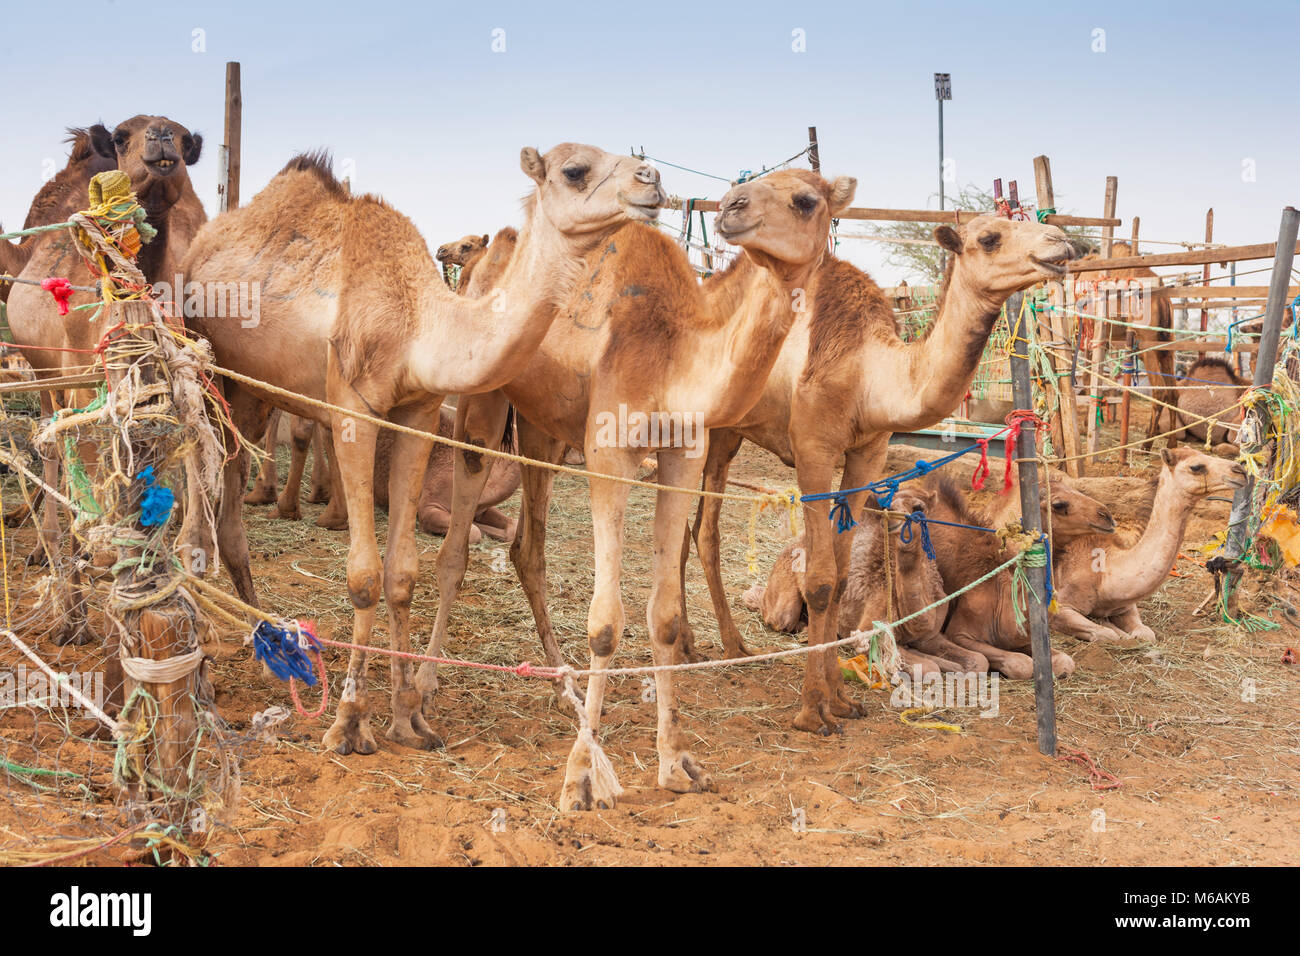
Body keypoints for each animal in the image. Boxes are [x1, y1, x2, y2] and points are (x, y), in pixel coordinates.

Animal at [5, 117, 205, 644]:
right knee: (56, 454)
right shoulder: (75, 381)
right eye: (121, 136)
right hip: (47, 375)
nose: (161, 137)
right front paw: (73, 618)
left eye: (183, 137)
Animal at [183, 144, 665, 755]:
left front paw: (408, 718)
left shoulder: (419, 412)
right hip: (205, 360)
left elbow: (402, 573)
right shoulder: (353, 408)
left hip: (252, 390)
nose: (652, 178)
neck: (416, 324)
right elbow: (364, 576)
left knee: (232, 482)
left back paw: (266, 642)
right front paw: (348, 724)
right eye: (574, 170)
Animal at [420, 169, 857, 808]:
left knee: (528, 549)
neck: (675, 352)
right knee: (454, 549)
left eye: (806, 199)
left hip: (543, 429)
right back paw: (421, 693)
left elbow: (666, 616)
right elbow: (605, 622)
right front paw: (580, 777)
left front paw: (675, 763)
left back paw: (567, 691)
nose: (731, 207)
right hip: (483, 402)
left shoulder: (683, 455)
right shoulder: (609, 452)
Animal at [682, 215, 1076, 734]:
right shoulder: (813, 449)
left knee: (695, 530)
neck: (868, 374)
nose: (1062, 244)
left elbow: (841, 573)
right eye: (989, 238)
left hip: (728, 432)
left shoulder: (867, 452)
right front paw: (813, 712)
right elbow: (820, 578)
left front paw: (842, 700)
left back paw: (714, 645)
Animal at [1051, 447, 1245, 644]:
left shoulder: (1126, 606)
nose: (1240, 471)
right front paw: (1111, 627)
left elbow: (1145, 634)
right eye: (1196, 466)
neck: (1104, 575)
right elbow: (1110, 635)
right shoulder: (1061, 607)